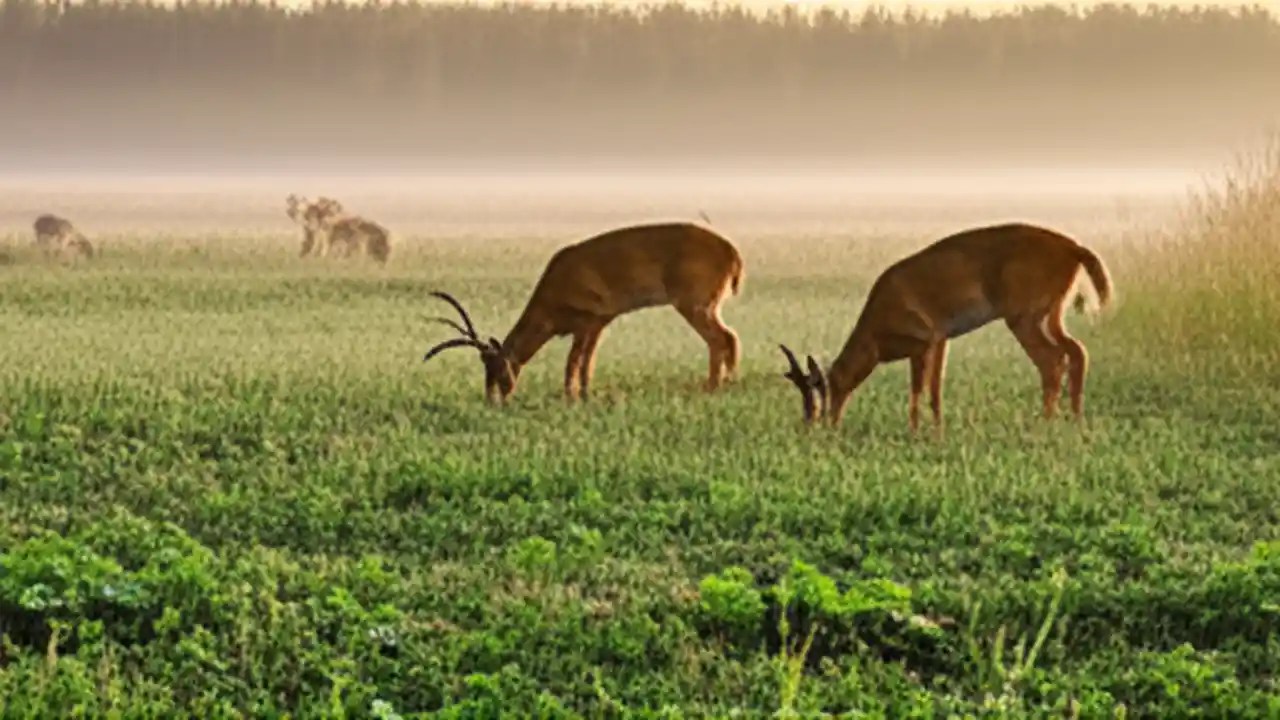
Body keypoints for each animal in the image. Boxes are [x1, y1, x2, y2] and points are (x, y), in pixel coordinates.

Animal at [422, 221, 745, 403]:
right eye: (484, 366)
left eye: (497, 365)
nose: (494, 398)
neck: (558, 278)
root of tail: (731, 251)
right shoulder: (599, 323)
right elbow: (588, 362)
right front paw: (588, 395)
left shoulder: (584, 322)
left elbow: (572, 362)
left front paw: (571, 397)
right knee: (728, 338)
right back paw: (726, 383)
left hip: (693, 306)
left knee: (722, 339)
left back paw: (713, 387)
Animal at [780, 222, 1113, 433]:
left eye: (827, 386)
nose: (825, 423)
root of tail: (1075, 248)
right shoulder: (940, 340)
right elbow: (935, 388)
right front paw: (937, 432)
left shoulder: (922, 343)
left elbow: (917, 388)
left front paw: (914, 432)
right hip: (1051, 316)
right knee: (1077, 352)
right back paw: (1074, 419)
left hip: (1024, 320)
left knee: (1052, 361)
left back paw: (1044, 424)